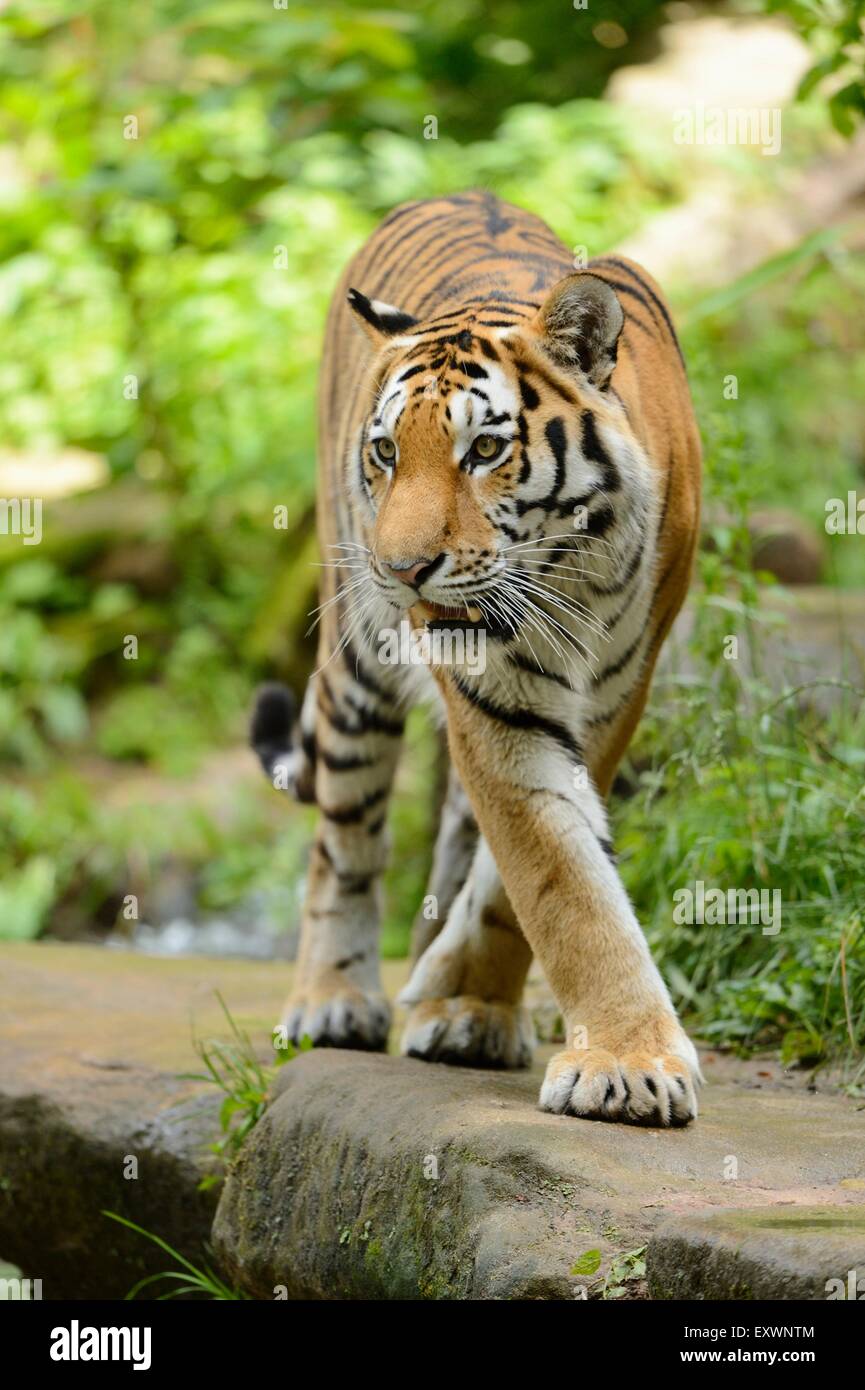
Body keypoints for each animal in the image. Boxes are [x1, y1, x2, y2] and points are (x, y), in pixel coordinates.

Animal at [252, 189, 702, 1126]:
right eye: (387, 452)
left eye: (485, 451)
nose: (400, 569)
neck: (569, 573)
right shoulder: (500, 704)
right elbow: (561, 881)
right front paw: (628, 1064)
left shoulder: (615, 695)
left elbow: (515, 879)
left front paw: (466, 1002)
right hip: (354, 670)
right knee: (344, 844)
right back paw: (331, 1000)